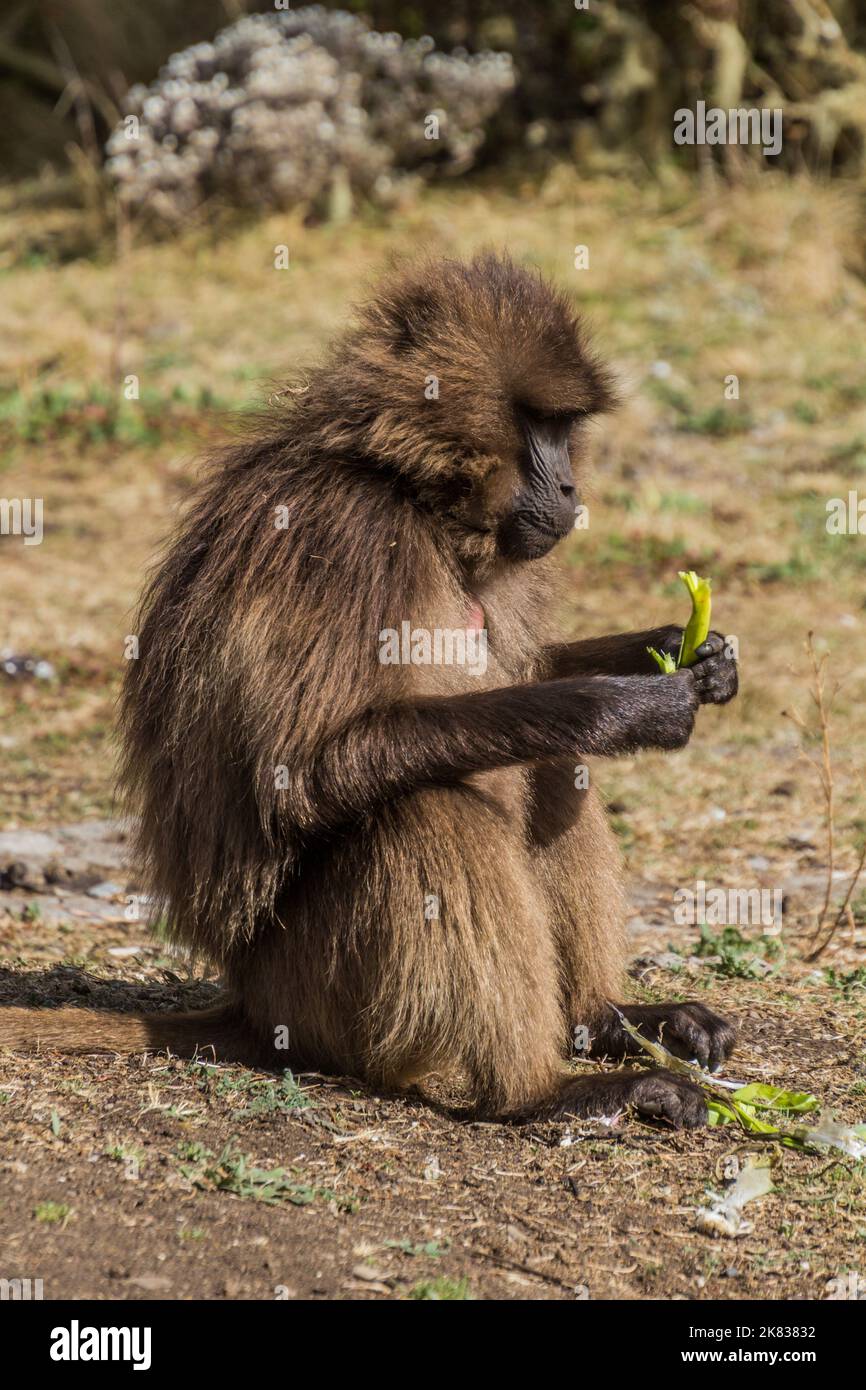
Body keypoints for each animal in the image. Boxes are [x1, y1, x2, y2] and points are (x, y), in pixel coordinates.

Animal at [0, 254, 738, 1128]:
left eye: (565, 427)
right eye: (537, 425)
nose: (568, 492)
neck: (415, 494)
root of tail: (250, 1003)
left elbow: (523, 673)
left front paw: (689, 654)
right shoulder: (342, 540)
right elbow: (307, 767)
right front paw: (617, 706)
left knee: (557, 769)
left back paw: (607, 1020)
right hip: (317, 989)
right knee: (432, 805)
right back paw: (540, 1090)